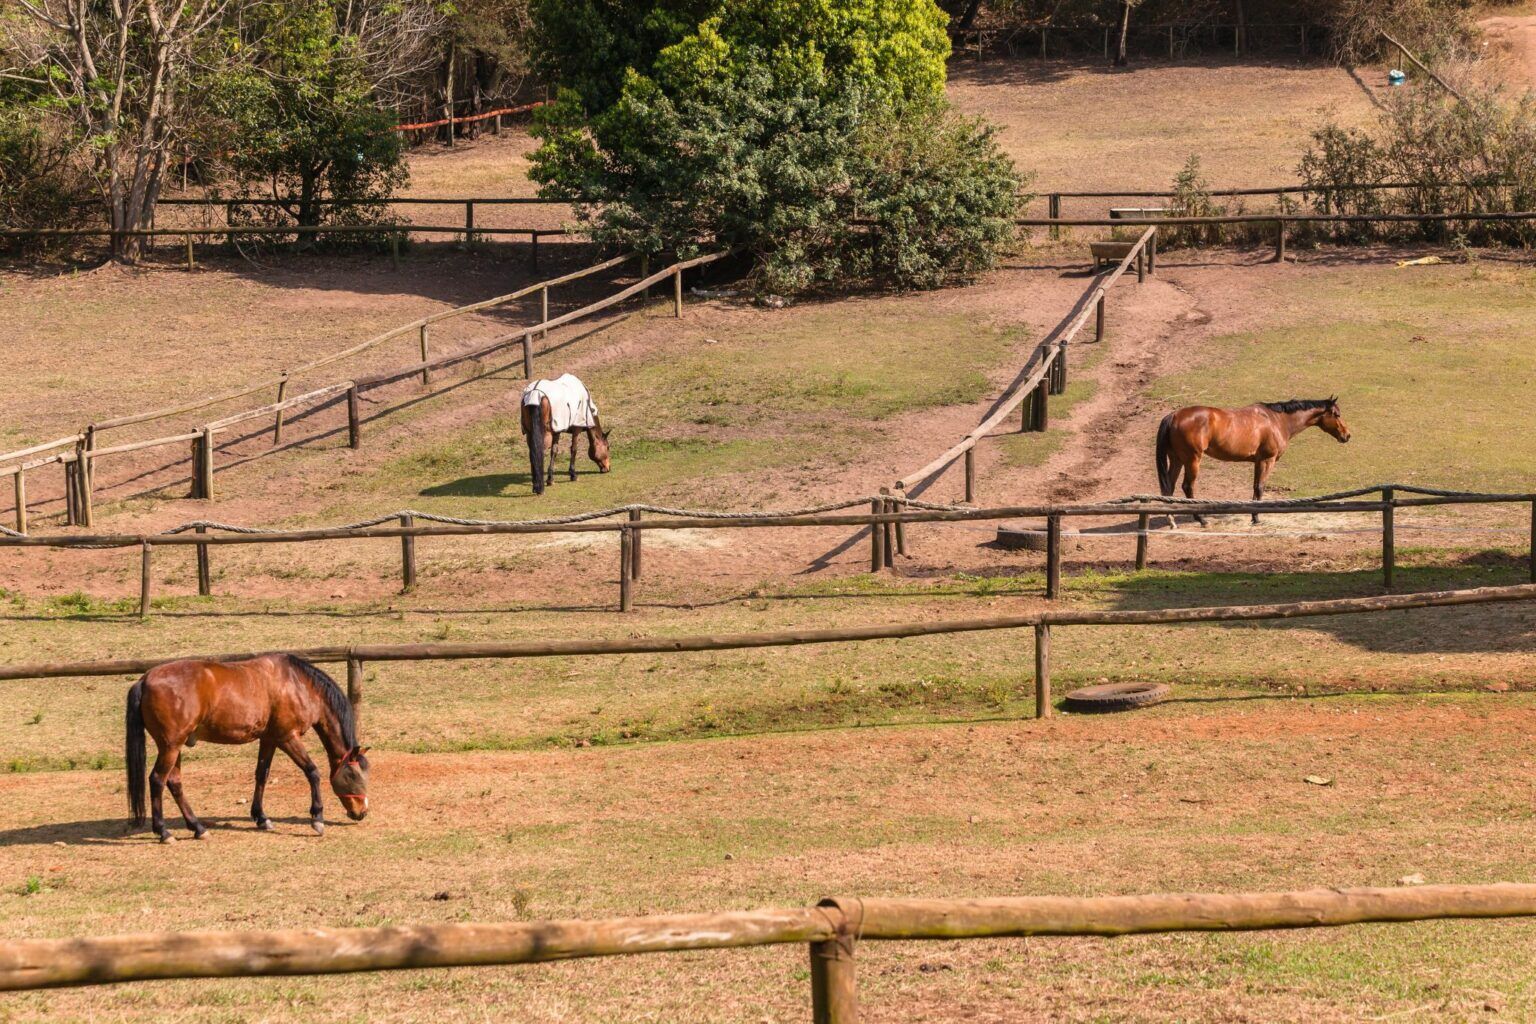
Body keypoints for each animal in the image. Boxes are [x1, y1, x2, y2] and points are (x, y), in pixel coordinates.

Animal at [125, 653, 369, 843]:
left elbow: (262, 774)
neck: (298, 684)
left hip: (175, 748)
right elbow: (312, 772)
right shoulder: (287, 738)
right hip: (170, 747)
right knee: (157, 780)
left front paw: (261, 817)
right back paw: (164, 832)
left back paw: (197, 828)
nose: (362, 812)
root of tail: (144, 680)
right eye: (354, 776)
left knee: (174, 783)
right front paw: (317, 818)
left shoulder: (269, 739)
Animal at [1155, 397, 1351, 526]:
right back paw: (1200, 519)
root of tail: (1174, 415)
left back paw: (1171, 520)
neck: (1276, 420)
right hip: (1192, 460)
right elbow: (1260, 488)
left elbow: (1255, 487)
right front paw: (1256, 517)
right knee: (1187, 487)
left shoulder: (1258, 461)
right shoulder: (1267, 460)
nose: (1347, 435)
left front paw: (1253, 515)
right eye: (1336, 414)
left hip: (1177, 460)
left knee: (1168, 488)